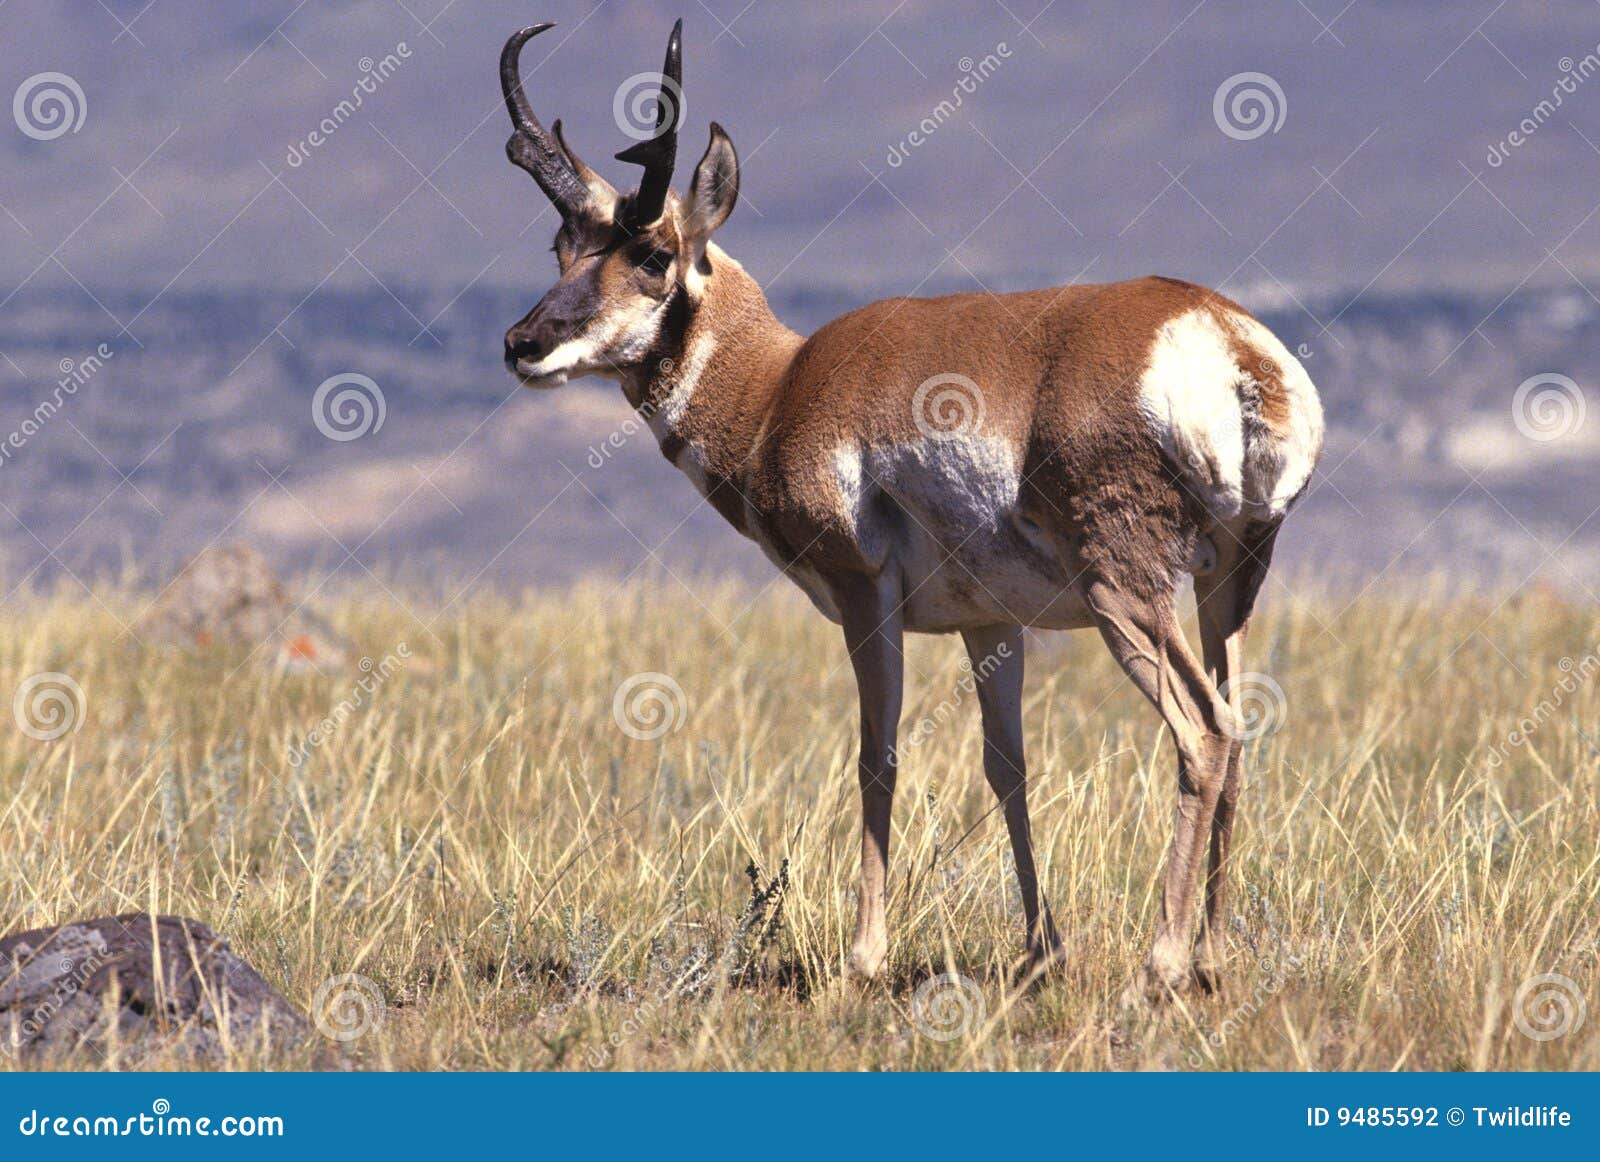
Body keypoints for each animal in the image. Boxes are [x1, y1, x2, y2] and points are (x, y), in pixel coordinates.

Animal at [498, 19, 1324, 999]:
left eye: (652, 254)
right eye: (561, 248)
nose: (522, 343)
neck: (782, 385)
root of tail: (1223, 337)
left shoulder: (865, 592)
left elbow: (877, 756)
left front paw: (864, 956)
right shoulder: (990, 624)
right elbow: (1006, 766)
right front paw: (1041, 950)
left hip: (1125, 591)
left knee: (1204, 732)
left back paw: (1158, 966)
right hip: (1228, 584)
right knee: (1239, 732)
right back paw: (1211, 958)